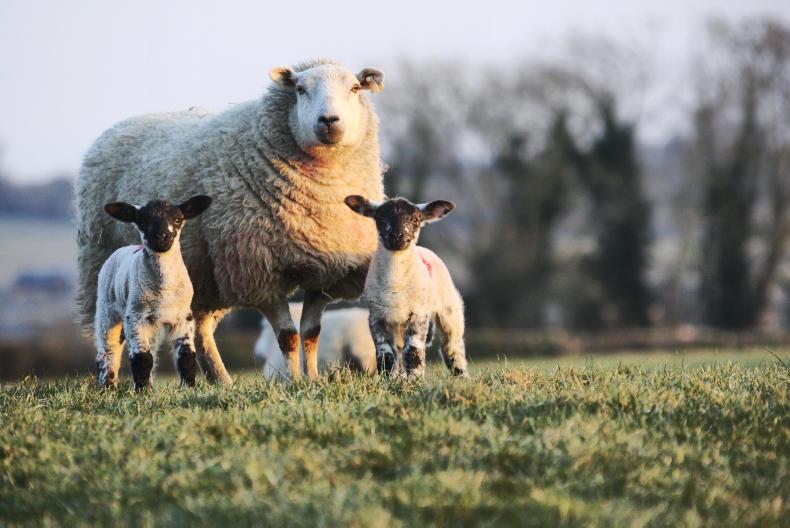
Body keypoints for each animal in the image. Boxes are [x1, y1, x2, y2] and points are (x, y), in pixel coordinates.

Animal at [94, 195, 212, 390]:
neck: (163, 289)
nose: (161, 236)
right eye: (142, 221)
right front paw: (143, 391)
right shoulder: (135, 316)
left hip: (152, 325)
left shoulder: (184, 317)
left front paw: (188, 387)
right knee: (108, 349)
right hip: (107, 310)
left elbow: (186, 356)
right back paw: (108, 385)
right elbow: (142, 358)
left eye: (177, 219)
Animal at [344, 195, 469, 379]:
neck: (395, 283)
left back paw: (461, 376)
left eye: (416, 219)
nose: (397, 236)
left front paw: (415, 379)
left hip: (449, 311)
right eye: (380, 218)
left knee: (451, 347)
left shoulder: (418, 315)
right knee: (398, 350)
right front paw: (388, 378)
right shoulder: (376, 317)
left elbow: (413, 351)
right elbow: (385, 354)